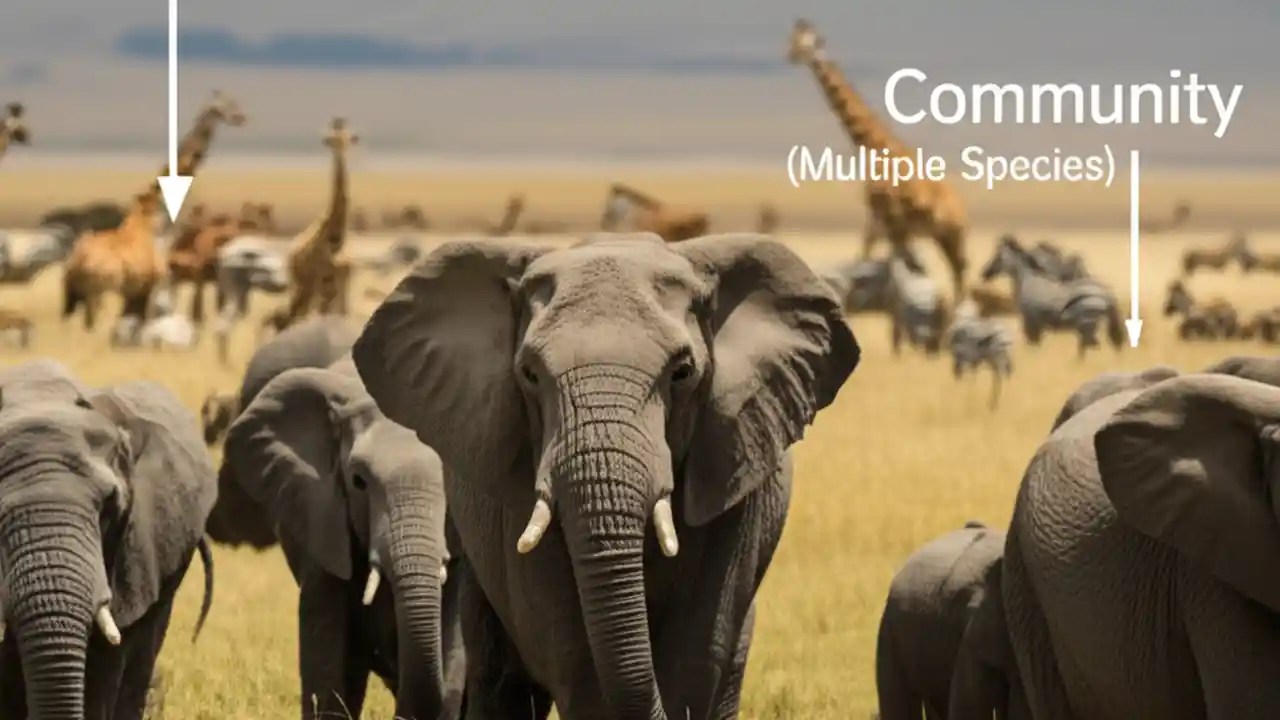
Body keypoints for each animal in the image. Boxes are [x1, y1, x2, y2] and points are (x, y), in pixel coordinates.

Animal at [352, 233, 860, 719]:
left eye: (683, 372)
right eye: (529, 374)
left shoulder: (734, 462)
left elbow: (698, 652)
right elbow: (568, 652)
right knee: (501, 677)